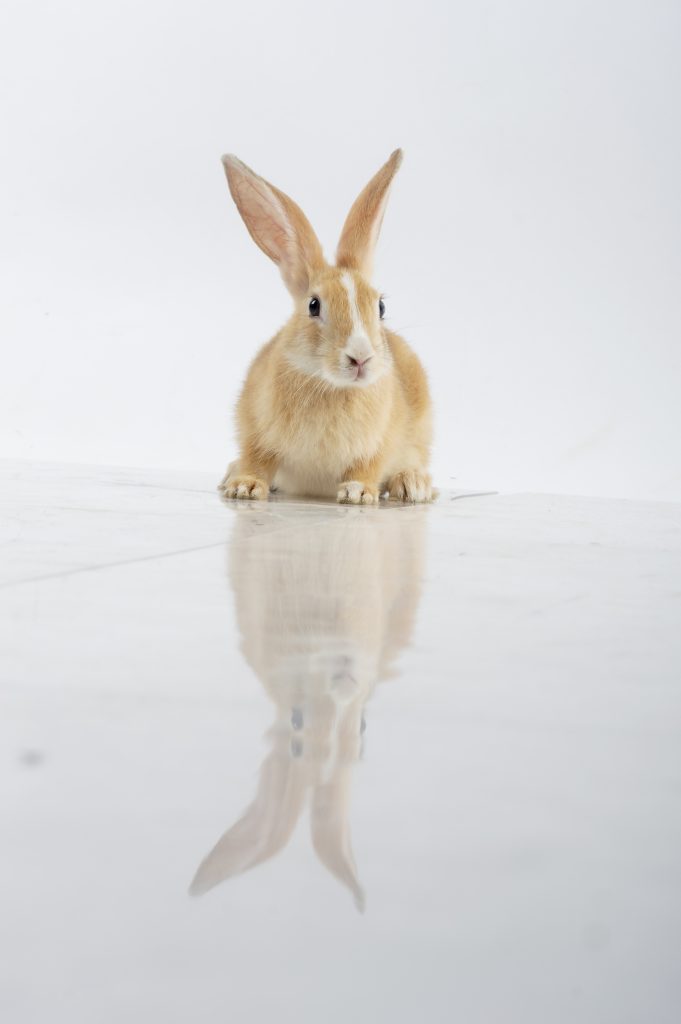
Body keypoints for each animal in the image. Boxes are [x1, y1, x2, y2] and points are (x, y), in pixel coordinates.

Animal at [217, 149, 433, 504]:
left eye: (381, 306)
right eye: (313, 305)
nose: (361, 358)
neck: (329, 384)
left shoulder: (379, 443)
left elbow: (369, 465)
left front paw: (358, 492)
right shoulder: (255, 429)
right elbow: (257, 458)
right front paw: (244, 486)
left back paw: (413, 484)